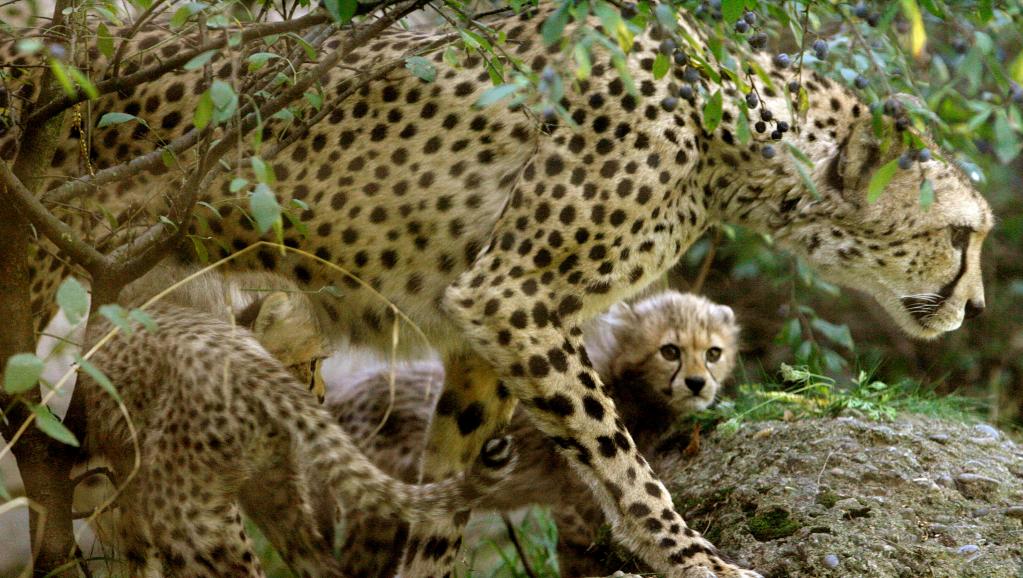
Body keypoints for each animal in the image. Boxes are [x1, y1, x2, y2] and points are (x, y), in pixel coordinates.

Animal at [322, 290, 739, 576]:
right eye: (670, 351)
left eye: (713, 353)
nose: (697, 383)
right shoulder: (572, 508)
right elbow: (582, 559)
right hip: (374, 517)